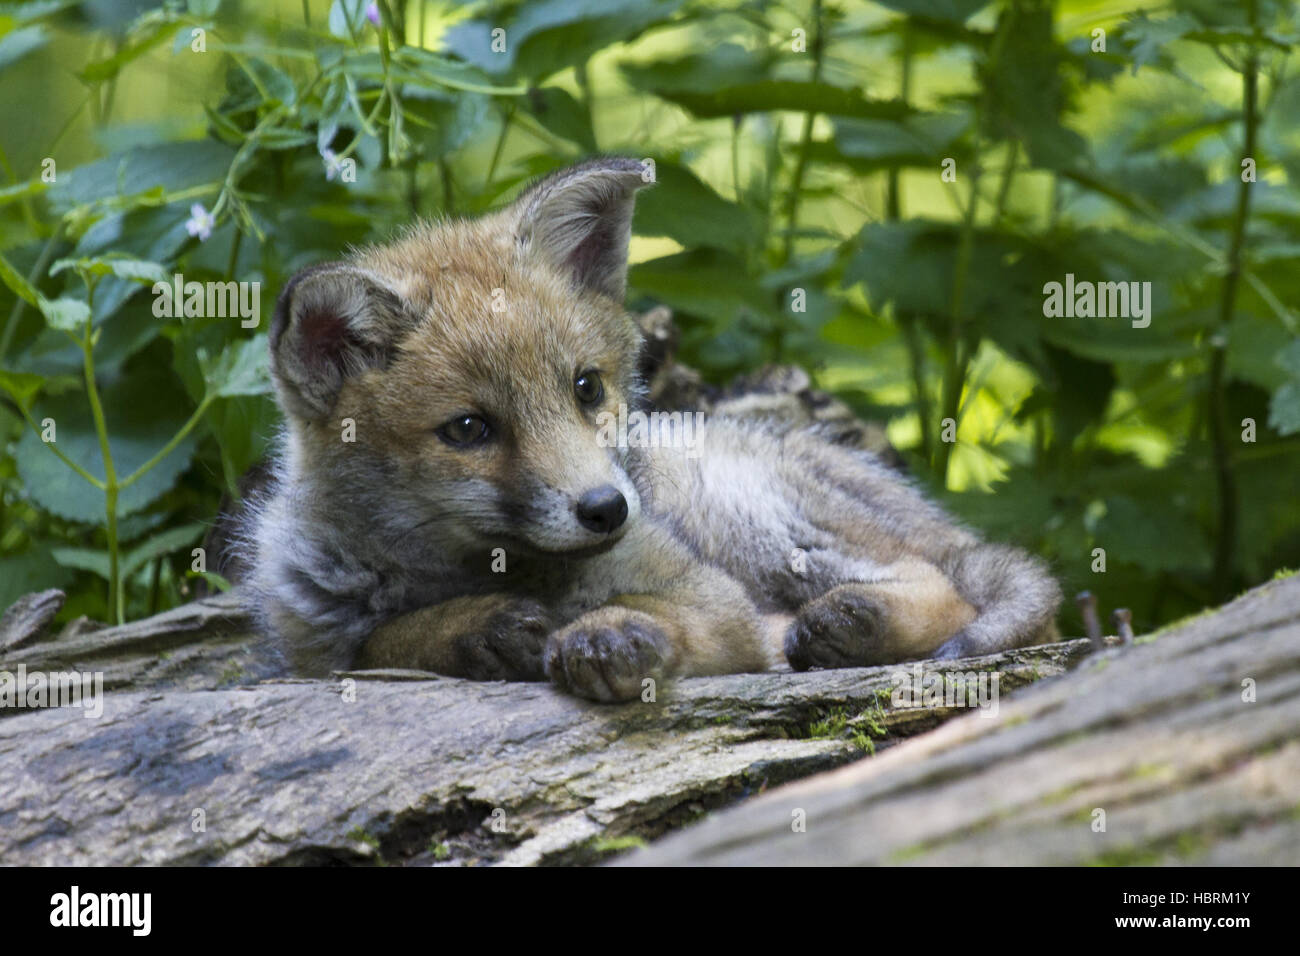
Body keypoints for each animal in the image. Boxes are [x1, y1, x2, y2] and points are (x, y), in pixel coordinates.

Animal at [242, 156, 1062, 702]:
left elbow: (668, 616)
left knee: (952, 588)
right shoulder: (314, 648)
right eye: (469, 428)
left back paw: (851, 622)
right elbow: (381, 641)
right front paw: (476, 629)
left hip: (754, 517)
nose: (607, 509)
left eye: (586, 388)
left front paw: (605, 634)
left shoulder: (711, 599)